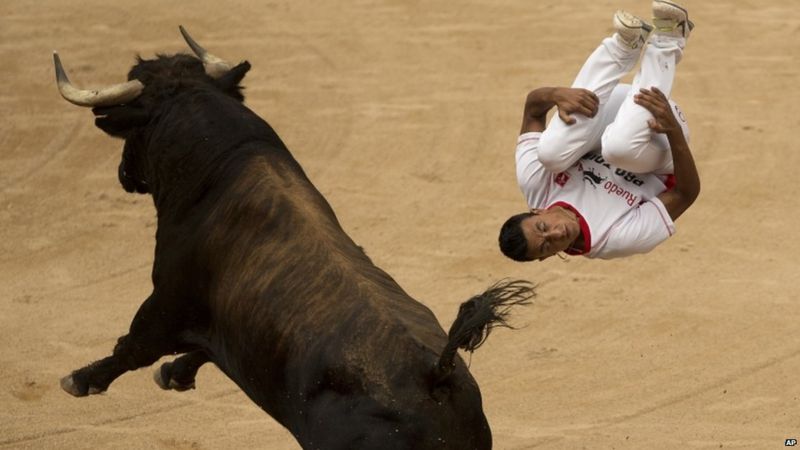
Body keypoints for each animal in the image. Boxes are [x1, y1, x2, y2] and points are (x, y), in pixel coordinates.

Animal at [54, 27, 535, 450]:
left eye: (134, 128)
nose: (124, 175)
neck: (222, 163)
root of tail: (436, 374)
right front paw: (176, 373)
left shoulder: (166, 301)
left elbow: (132, 347)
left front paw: (80, 379)